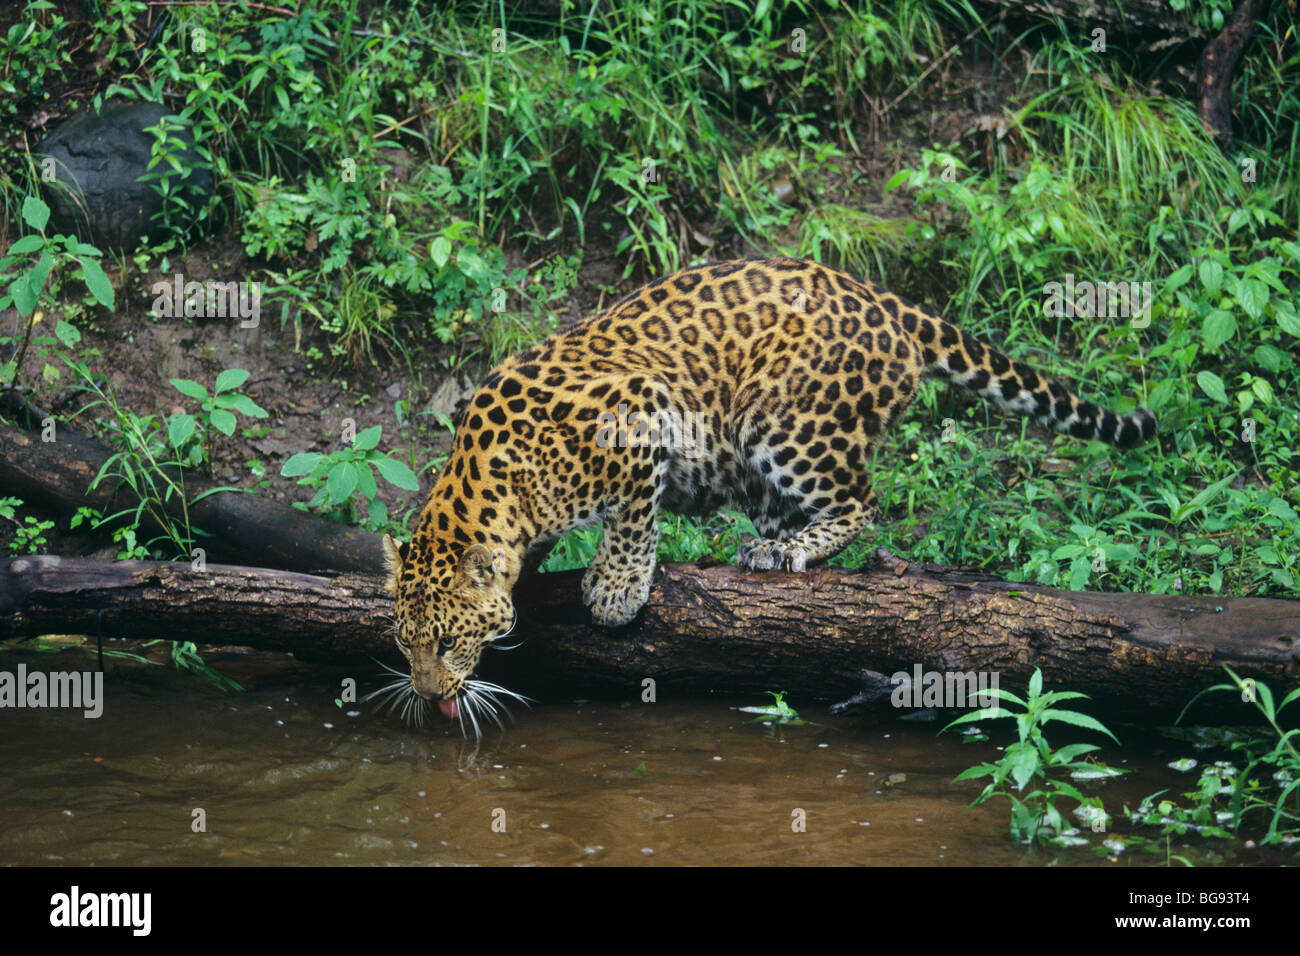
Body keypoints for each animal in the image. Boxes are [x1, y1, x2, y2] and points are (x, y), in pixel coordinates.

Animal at [382, 256, 1156, 729]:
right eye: (403, 642)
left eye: (448, 642)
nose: (427, 694)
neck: (491, 482)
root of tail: (884, 300)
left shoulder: (642, 409)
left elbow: (633, 516)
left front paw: (616, 588)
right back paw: (776, 547)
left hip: (786, 424)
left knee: (860, 500)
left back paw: (789, 552)